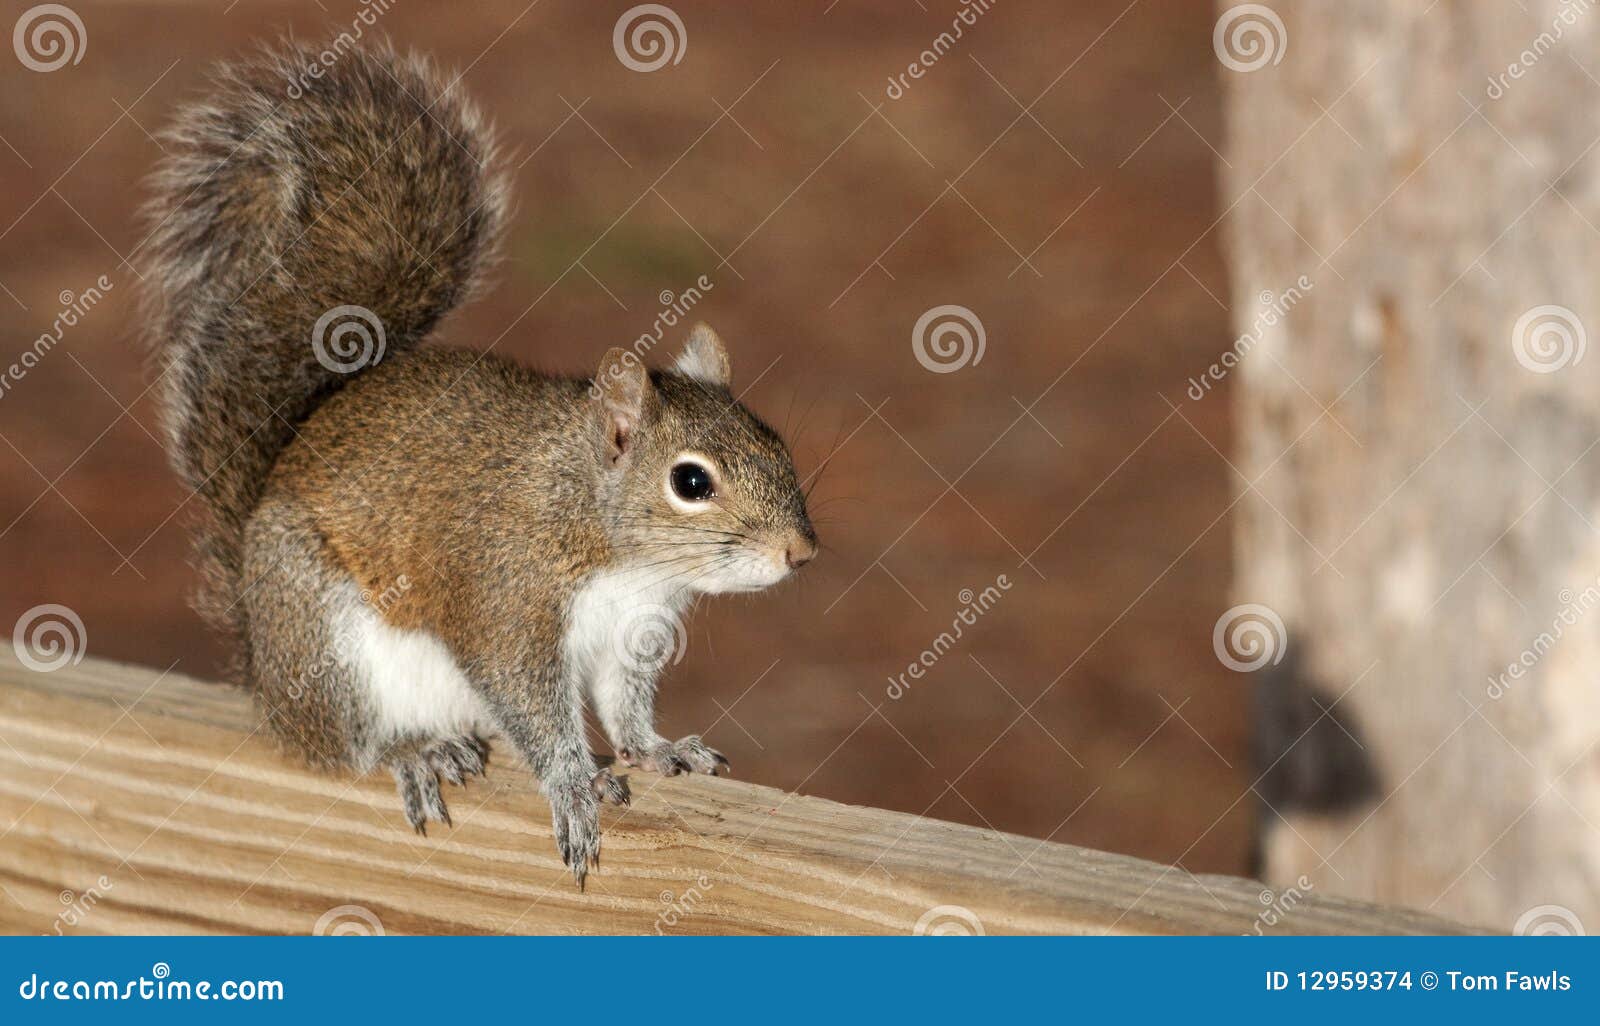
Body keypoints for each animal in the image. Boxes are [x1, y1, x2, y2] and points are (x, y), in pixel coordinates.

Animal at [142, 41, 818, 886]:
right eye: (691, 481)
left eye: (777, 443)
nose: (801, 552)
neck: (604, 532)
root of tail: (264, 676)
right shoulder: (508, 602)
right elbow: (533, 705)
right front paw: (573, 785)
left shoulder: (633, 628)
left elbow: (624, 703)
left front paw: (657, 751)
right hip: (324, 644)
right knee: (343, 746)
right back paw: (414, 751)